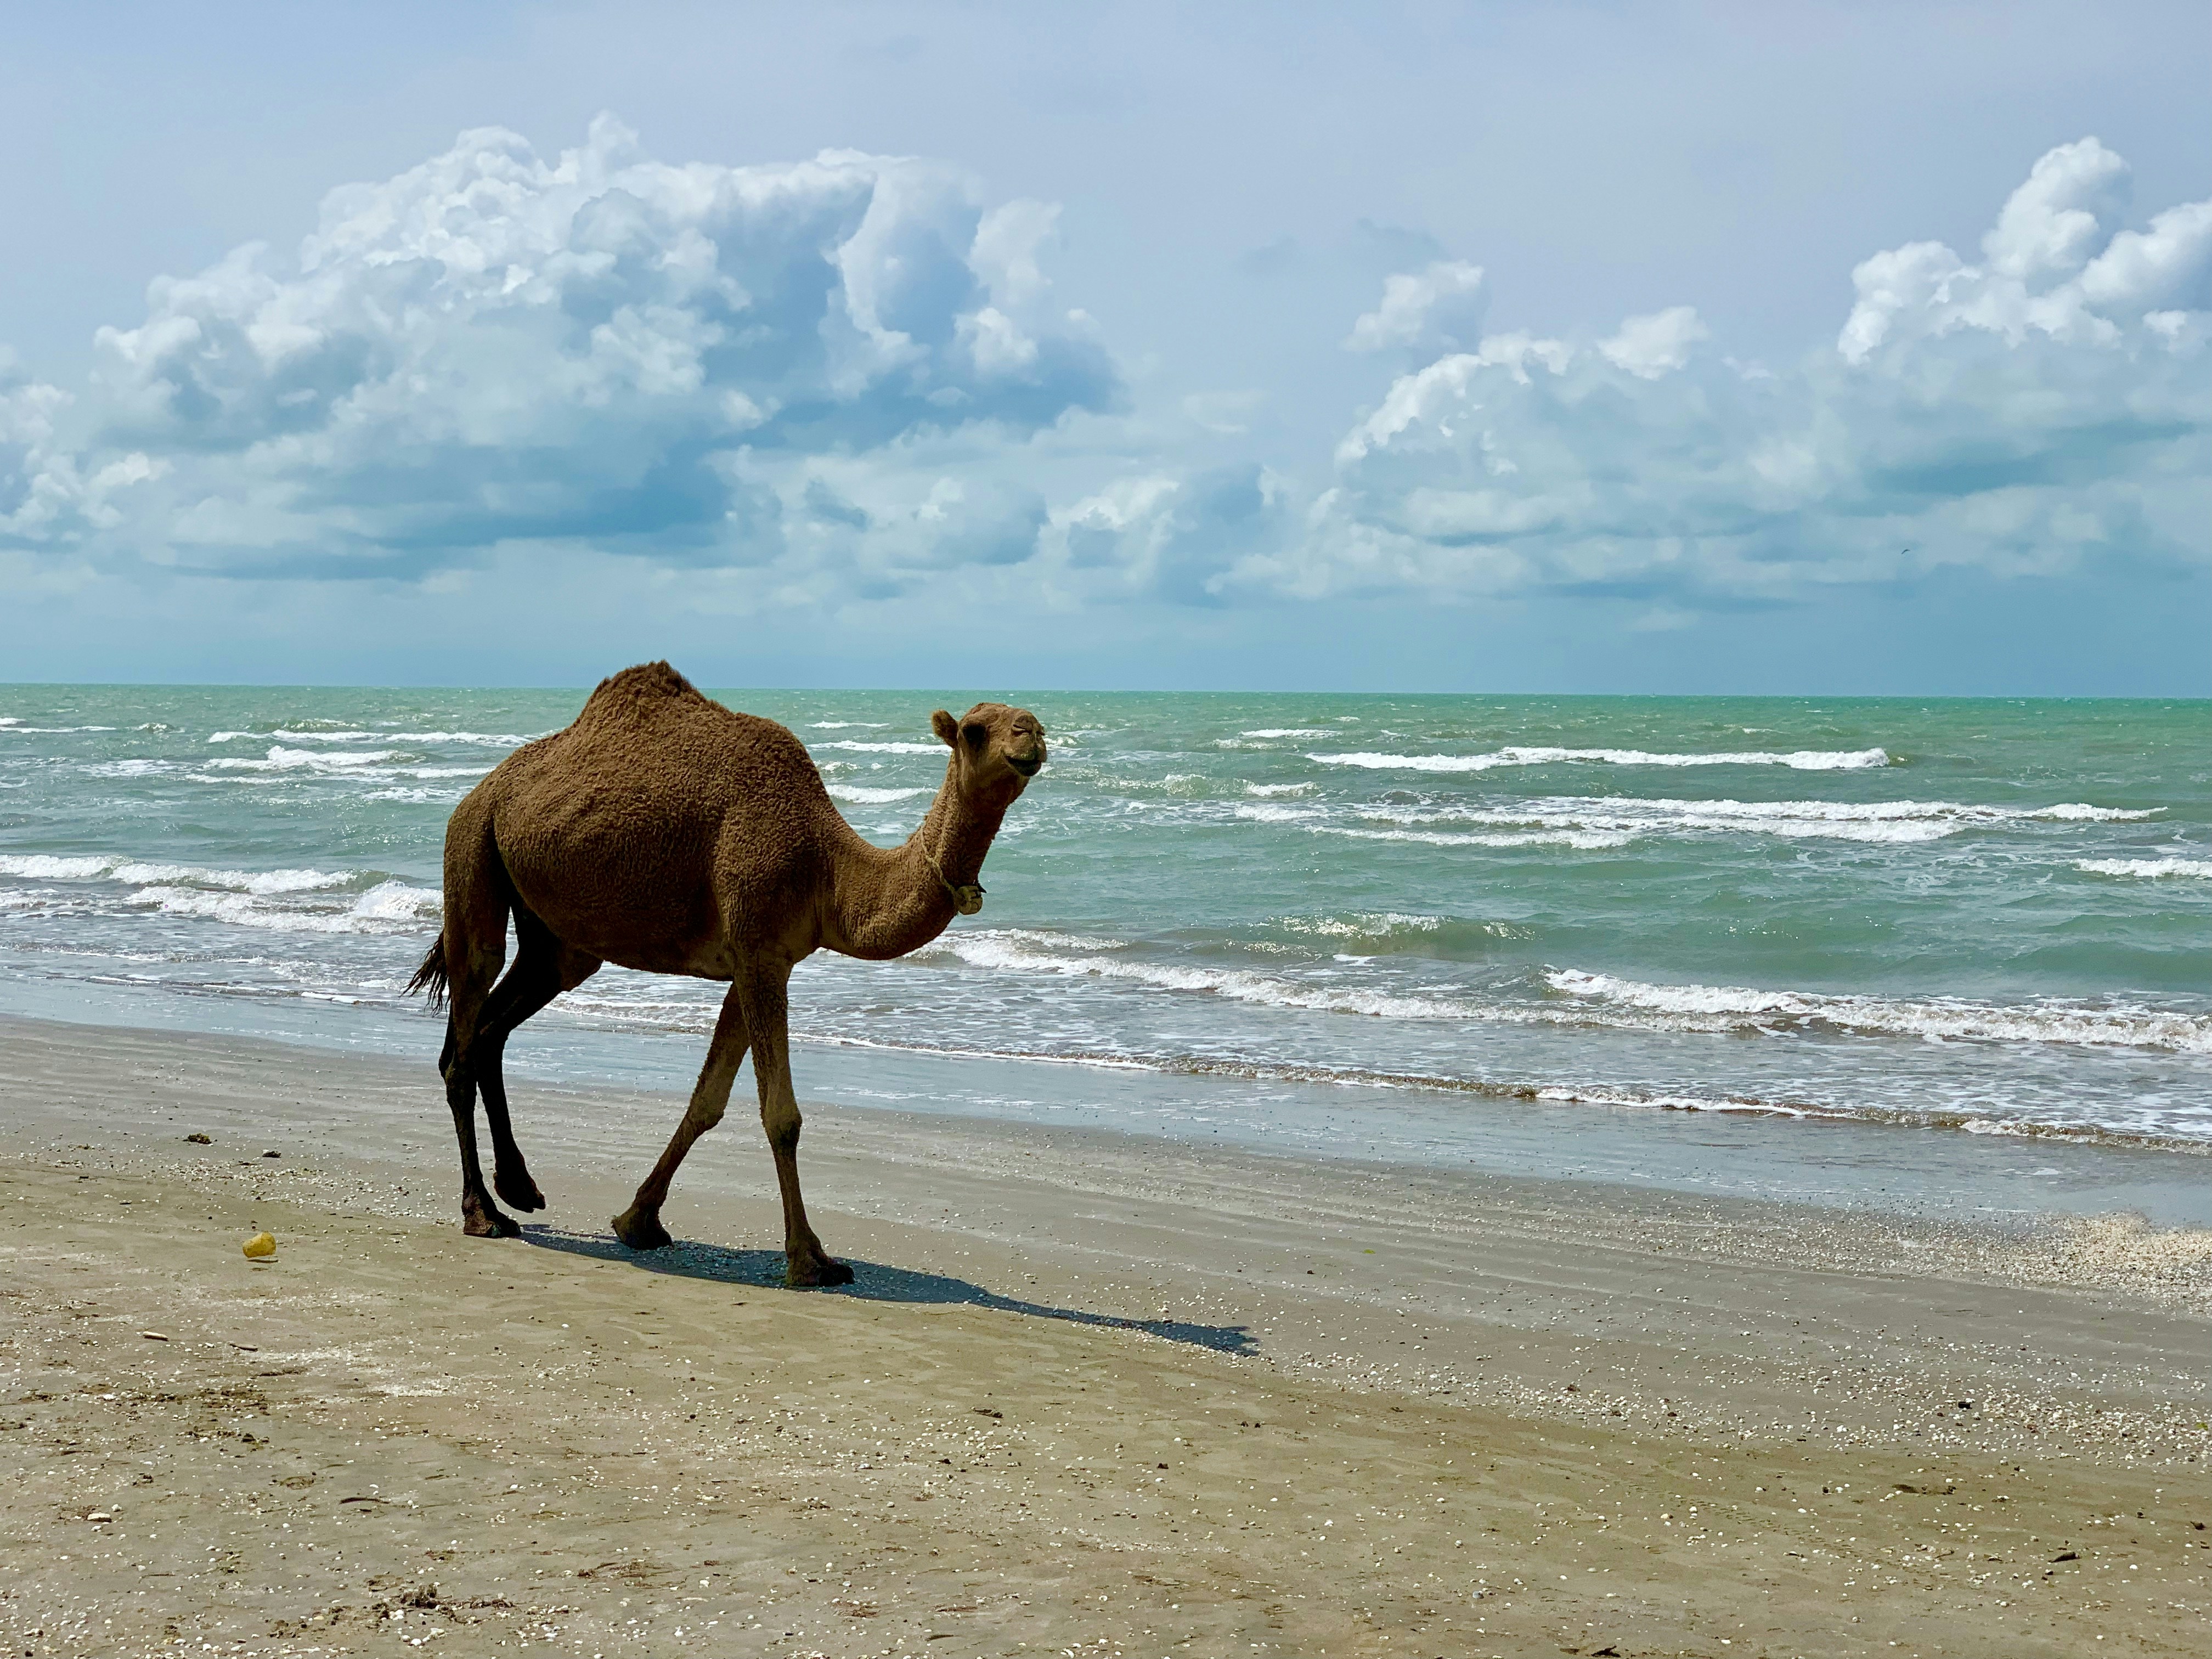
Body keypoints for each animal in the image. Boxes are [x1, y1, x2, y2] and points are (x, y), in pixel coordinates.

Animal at [405, 661, 1046, 1286]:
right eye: (974, 730)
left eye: (1027, 721)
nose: (1032, 733)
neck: (827, 868)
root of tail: (481, 792)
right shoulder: (759, 951)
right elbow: (781, 1115)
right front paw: (808, 1260)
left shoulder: (757, 961)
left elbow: (707, 1101)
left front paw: (638, 1221)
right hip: (472, 850)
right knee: (468, 1016)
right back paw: (483, 1214)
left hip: (555, 936)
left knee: (492, 1029)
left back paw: (520, 1189)